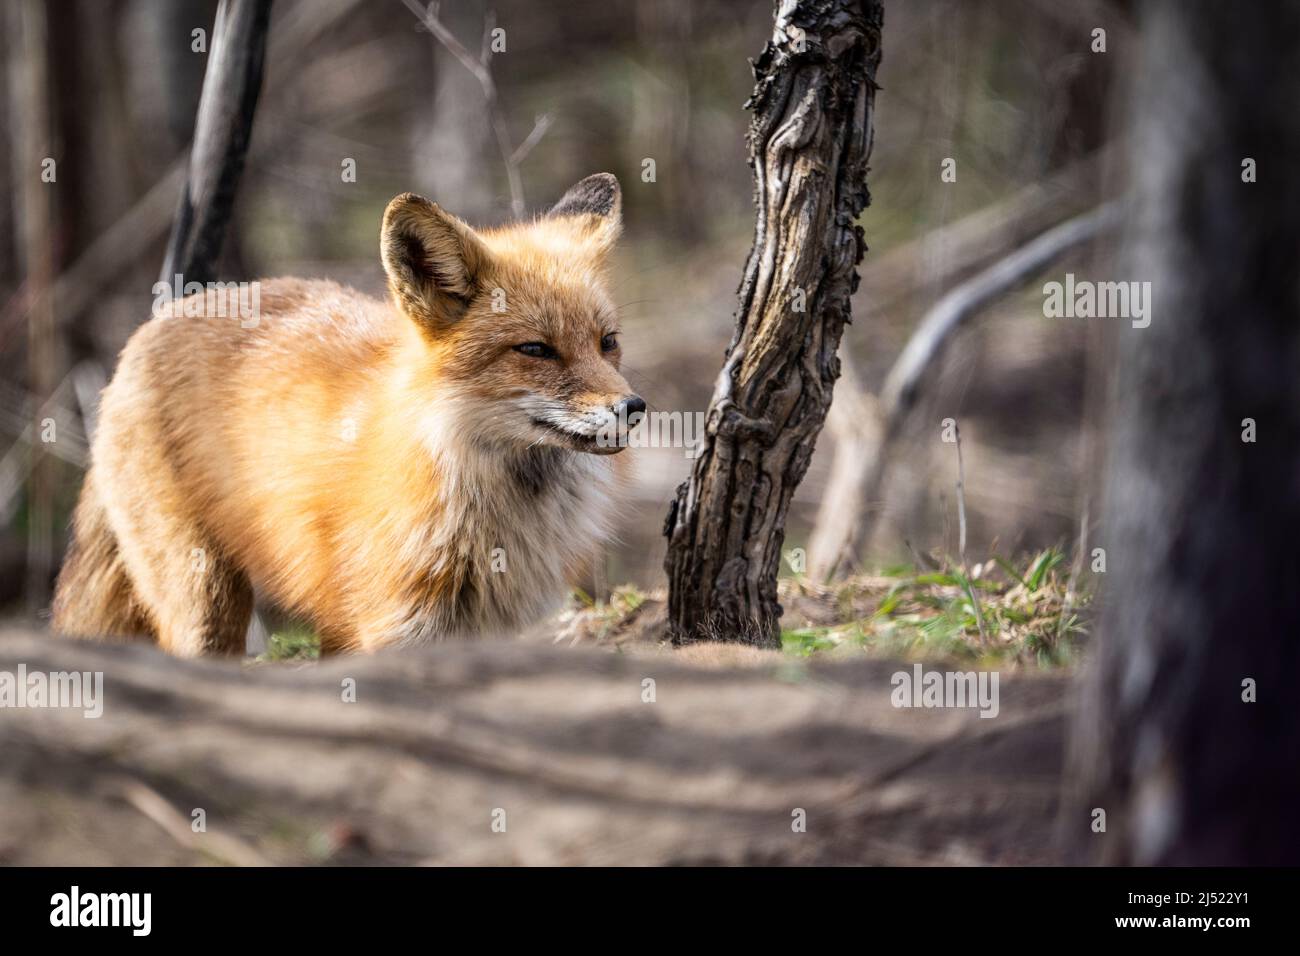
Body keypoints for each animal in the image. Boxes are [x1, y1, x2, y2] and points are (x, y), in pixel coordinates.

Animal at [51, 173, 643, 656]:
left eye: (608, 342)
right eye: (536, 350)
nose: (633, 408)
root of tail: (152, 324)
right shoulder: (397, 626)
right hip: (205, 602)